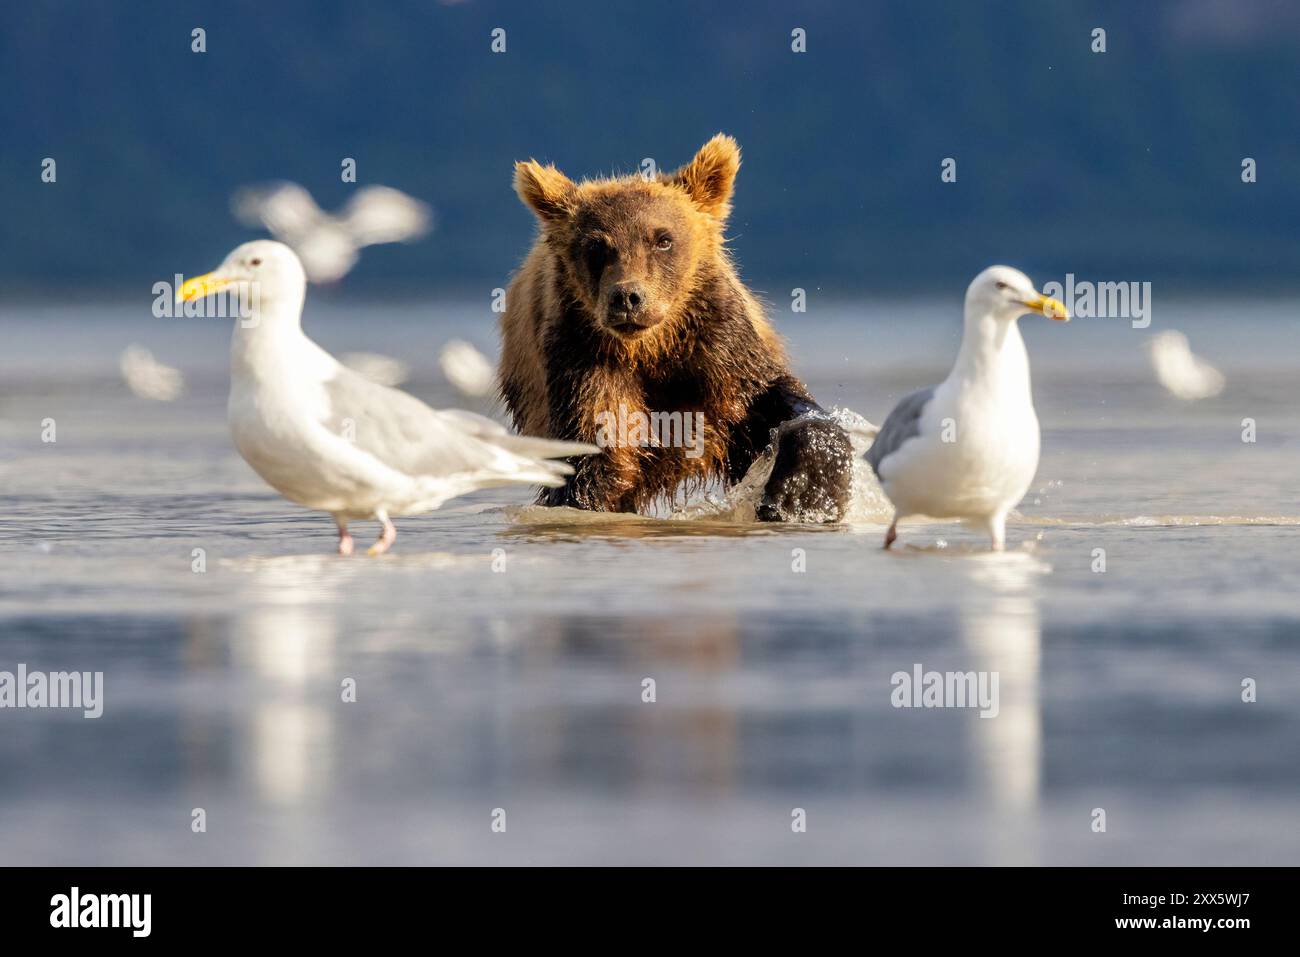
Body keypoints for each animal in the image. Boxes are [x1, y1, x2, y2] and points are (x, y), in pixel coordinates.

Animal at [498, 133, 854, 521]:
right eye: (596, 246)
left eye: (663, 239)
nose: (627, 298)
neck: (652, 348)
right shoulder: (584, 354)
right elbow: (597, 448)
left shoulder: (716, 345)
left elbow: (770, 402)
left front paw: (801, 492)